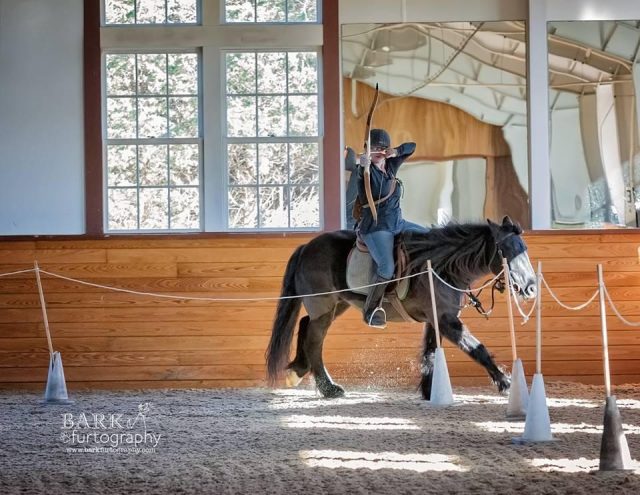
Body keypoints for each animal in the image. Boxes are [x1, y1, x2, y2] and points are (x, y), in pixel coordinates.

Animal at [265, 216, 537, 399]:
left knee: (304, 324)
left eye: (524, 248)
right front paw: (505, 382)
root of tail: (306, 248)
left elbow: (430, 353)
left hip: (336, 304)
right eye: (506, 250)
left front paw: (430, 391)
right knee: (314, 340)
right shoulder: (447, 320)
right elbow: (476, 349)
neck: (440, 267)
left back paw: (298, 370)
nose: (531, 287)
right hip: (324, 304)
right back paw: (328, 387)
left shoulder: (436, 319)